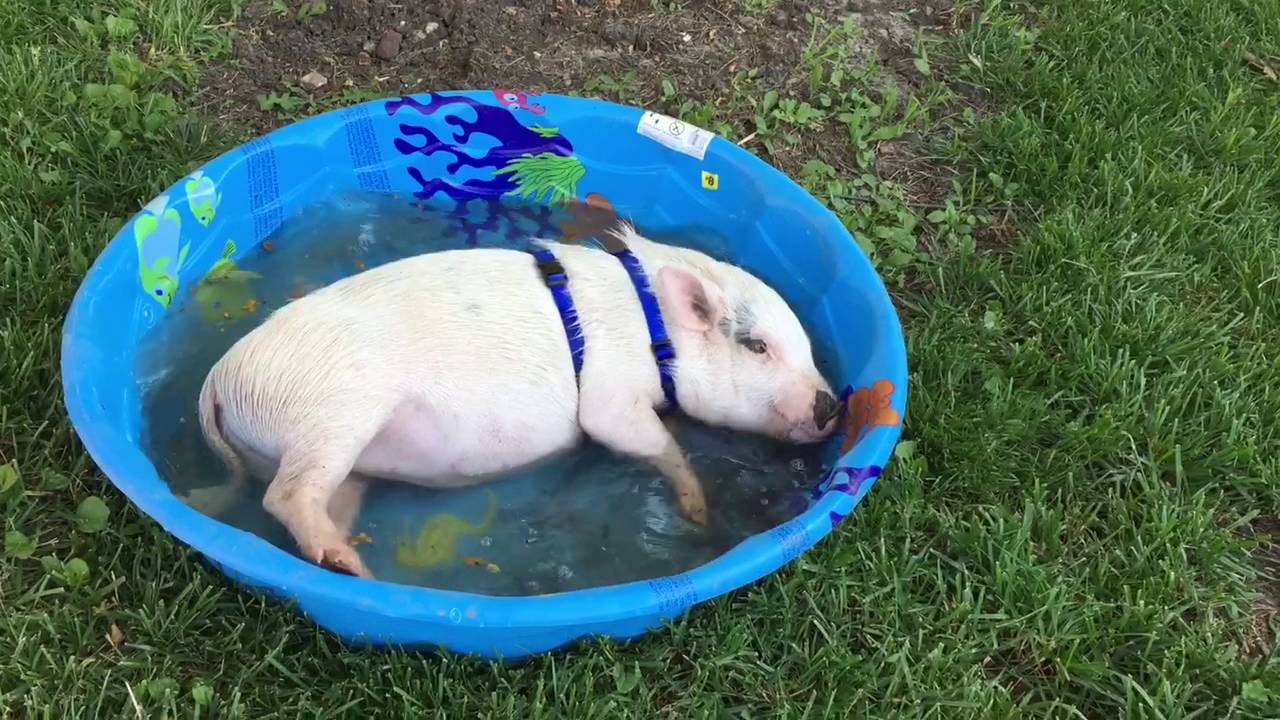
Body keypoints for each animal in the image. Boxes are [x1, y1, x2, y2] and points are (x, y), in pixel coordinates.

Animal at [192, 223, 839, 578]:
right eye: (757, 346)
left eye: (806, 346)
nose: (832, 407)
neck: (654, 330)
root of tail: (219, 382)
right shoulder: (609, 396)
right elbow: (642, 436)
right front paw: (700, 514)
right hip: (332, 413)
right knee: (286, 495)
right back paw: (348, 564)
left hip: (346, 462)